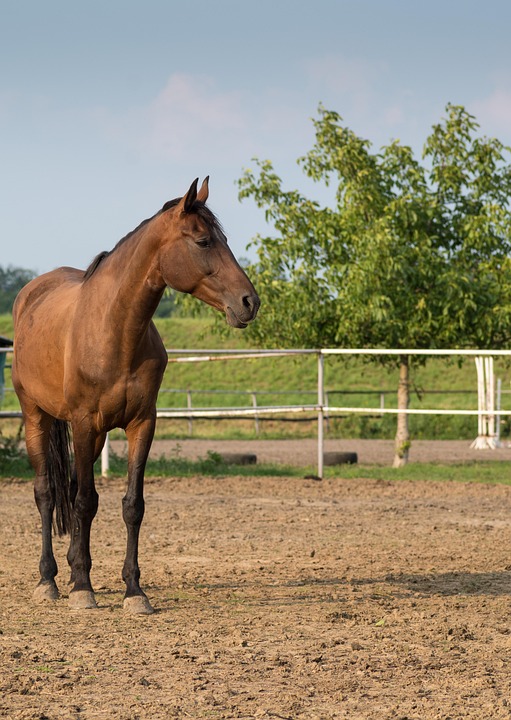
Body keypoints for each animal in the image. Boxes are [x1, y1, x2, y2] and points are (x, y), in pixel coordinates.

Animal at [12, 177, 260, 614]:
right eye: (203, 241)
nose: (249, 302)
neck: (115, 330)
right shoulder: (83, 423)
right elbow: (84, 502)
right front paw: (83, 590)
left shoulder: (142, 424)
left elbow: (131, 505)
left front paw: (133, 590)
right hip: (36, 416)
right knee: (46, 494)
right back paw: (50, 580)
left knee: (71, 490)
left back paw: (72, 571)